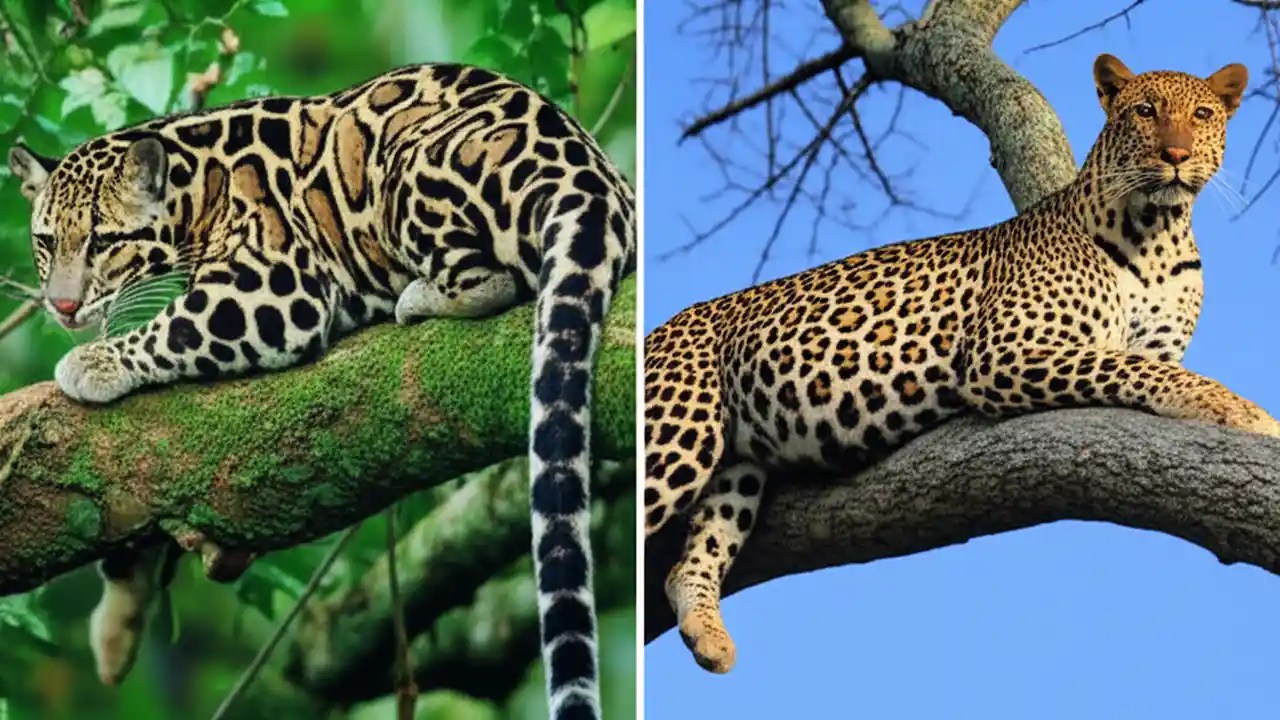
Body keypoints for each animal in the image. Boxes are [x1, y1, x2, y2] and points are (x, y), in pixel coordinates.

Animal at [9, 62, 634, 720]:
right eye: (46, 242)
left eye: (102, 242)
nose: (62, 306)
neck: (195, 186)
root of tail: (589, 178)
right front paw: (118, 628)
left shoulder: (276, 288)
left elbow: (171, 327)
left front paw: (94, 361)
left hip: (403, 167)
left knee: (494, 281)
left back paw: (416, 297)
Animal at [643, 54, 1275, 675]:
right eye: (1145, 111)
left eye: (1201, 115)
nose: (1176, 156)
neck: (1158, 236)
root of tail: (664, 328)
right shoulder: (1006, 349)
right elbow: (1146, 371)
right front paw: (1243, 412)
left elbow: (1148, 367)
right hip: (677, 433)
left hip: (734, 465)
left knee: (688, 562)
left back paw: (709, 636)